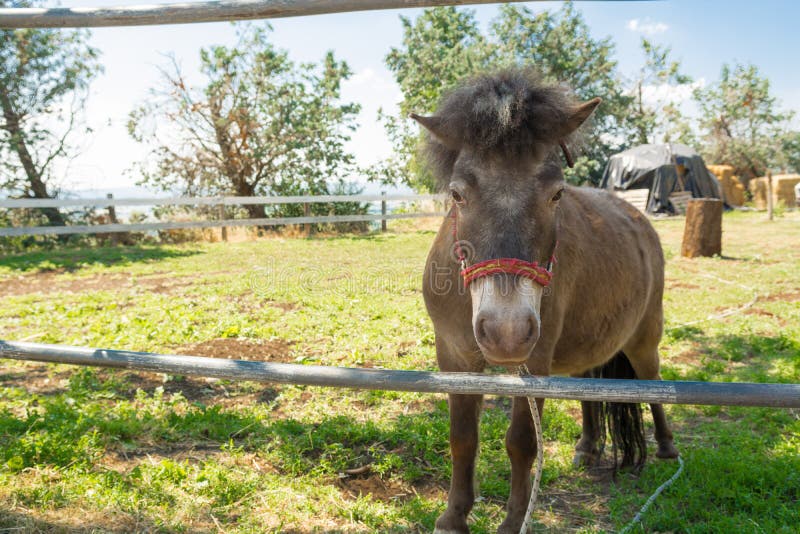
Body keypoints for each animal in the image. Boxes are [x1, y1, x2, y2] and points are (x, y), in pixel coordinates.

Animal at [414, 68, 679, 534]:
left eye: (557, 194)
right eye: (458, 194)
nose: (506, 333)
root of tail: (640, 219)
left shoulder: (534, 363)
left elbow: (522, 443)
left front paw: (513, 521)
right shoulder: (455, 357)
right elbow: (462, 438)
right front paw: (453, 517)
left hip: (644, 338)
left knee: (654, 381)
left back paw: (666, 448)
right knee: (588, 385)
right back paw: (588, 447)